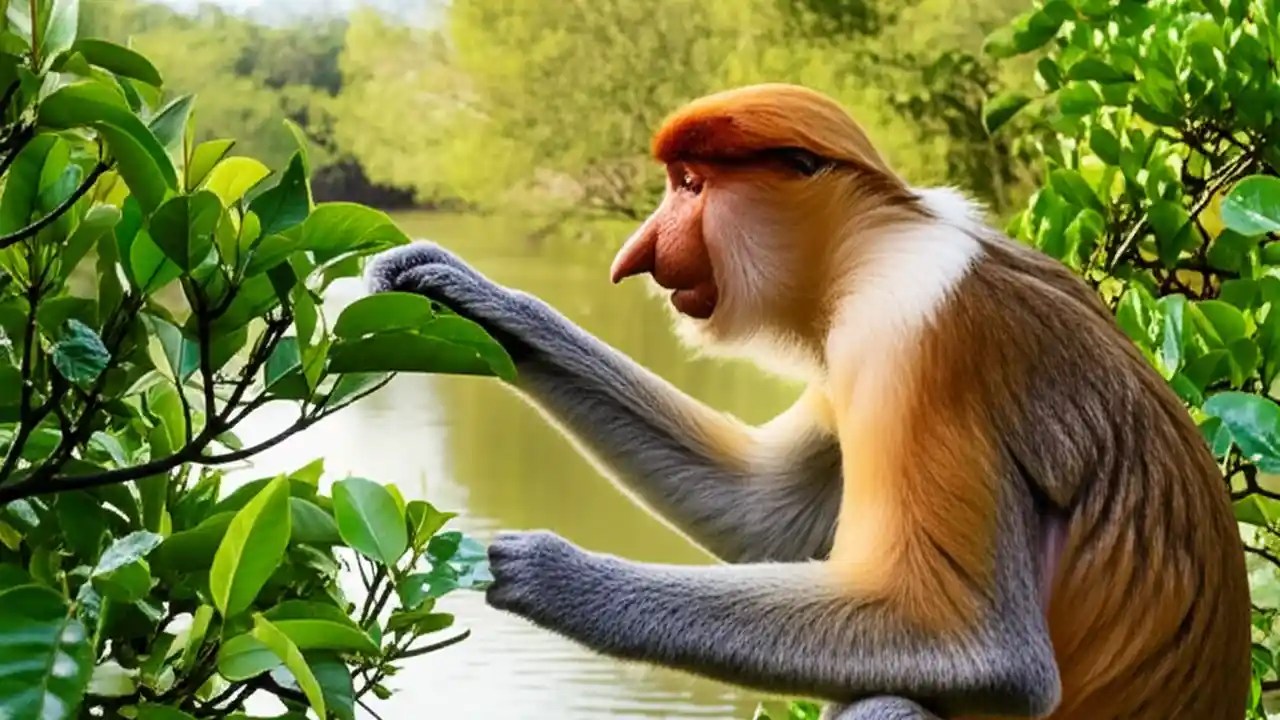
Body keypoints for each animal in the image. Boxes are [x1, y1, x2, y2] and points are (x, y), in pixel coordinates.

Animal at [364, 84, 1250, 719]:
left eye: (691, 186)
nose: (636, 253)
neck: (881, 238)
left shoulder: (910, 334)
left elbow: (982, 647)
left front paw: (547, 572)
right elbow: (766, 511)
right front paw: (466, 295)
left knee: (896, 701)